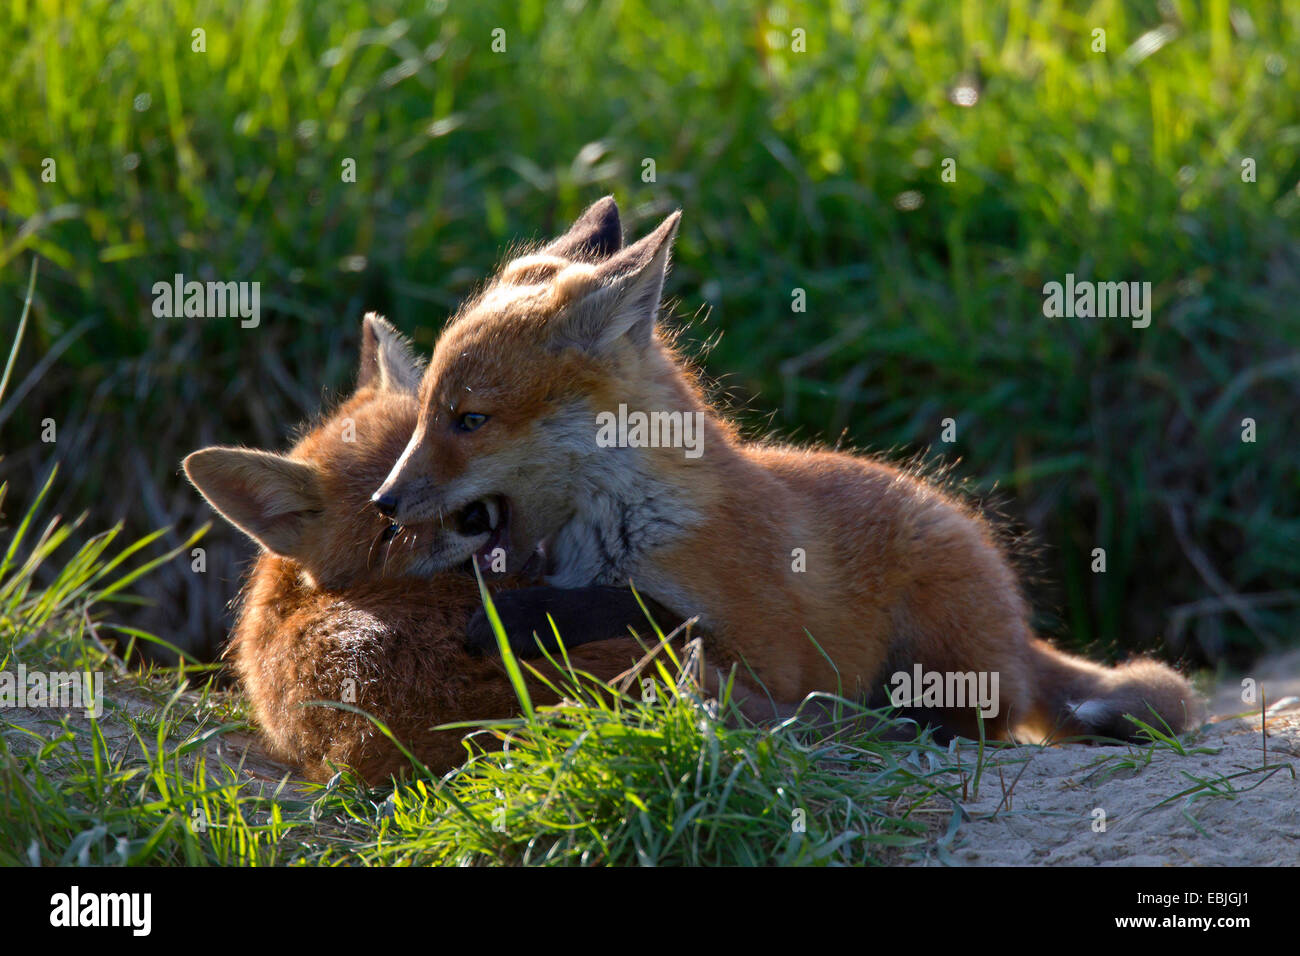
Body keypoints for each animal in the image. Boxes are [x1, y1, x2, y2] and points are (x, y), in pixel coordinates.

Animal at [370, 196, 1203, 743]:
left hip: (941, 633)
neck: (626, 526)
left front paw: (513, 622)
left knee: (970, 721)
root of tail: (1020, 626)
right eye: (428, 412)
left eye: (468, 420)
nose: (384, 501)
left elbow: (647, 611)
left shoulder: (767, 651)